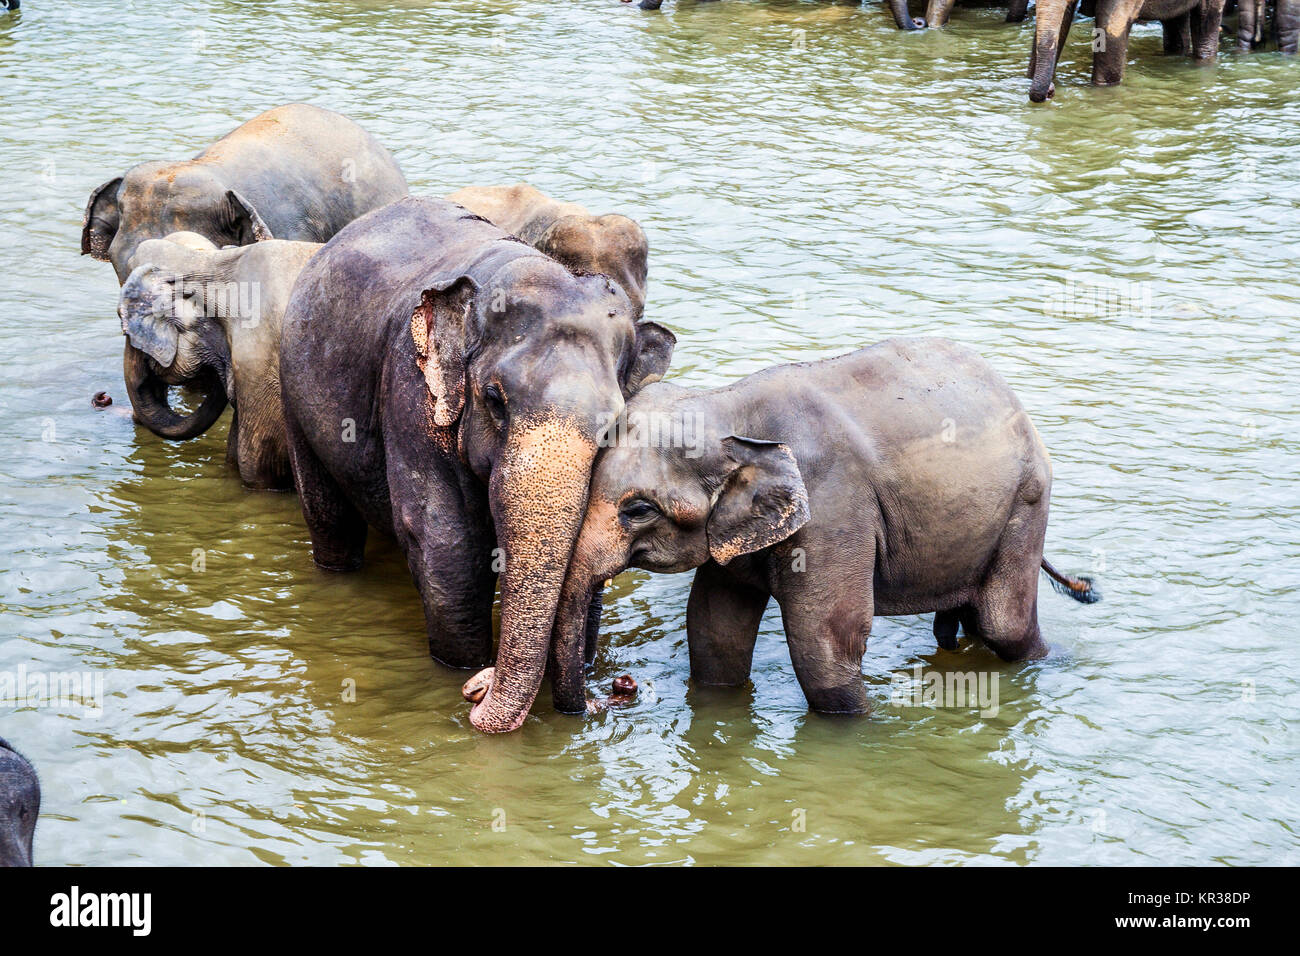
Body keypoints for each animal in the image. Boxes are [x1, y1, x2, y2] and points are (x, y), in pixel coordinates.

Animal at [470, 338, 1098, 722]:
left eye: (639, 510)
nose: (615, 693)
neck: (728, 408)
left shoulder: (834, 510)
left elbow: (826, 641)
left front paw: (860, 728)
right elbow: (715, 629)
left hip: (1026, 503)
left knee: (1004, 624)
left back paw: (1054, 662)